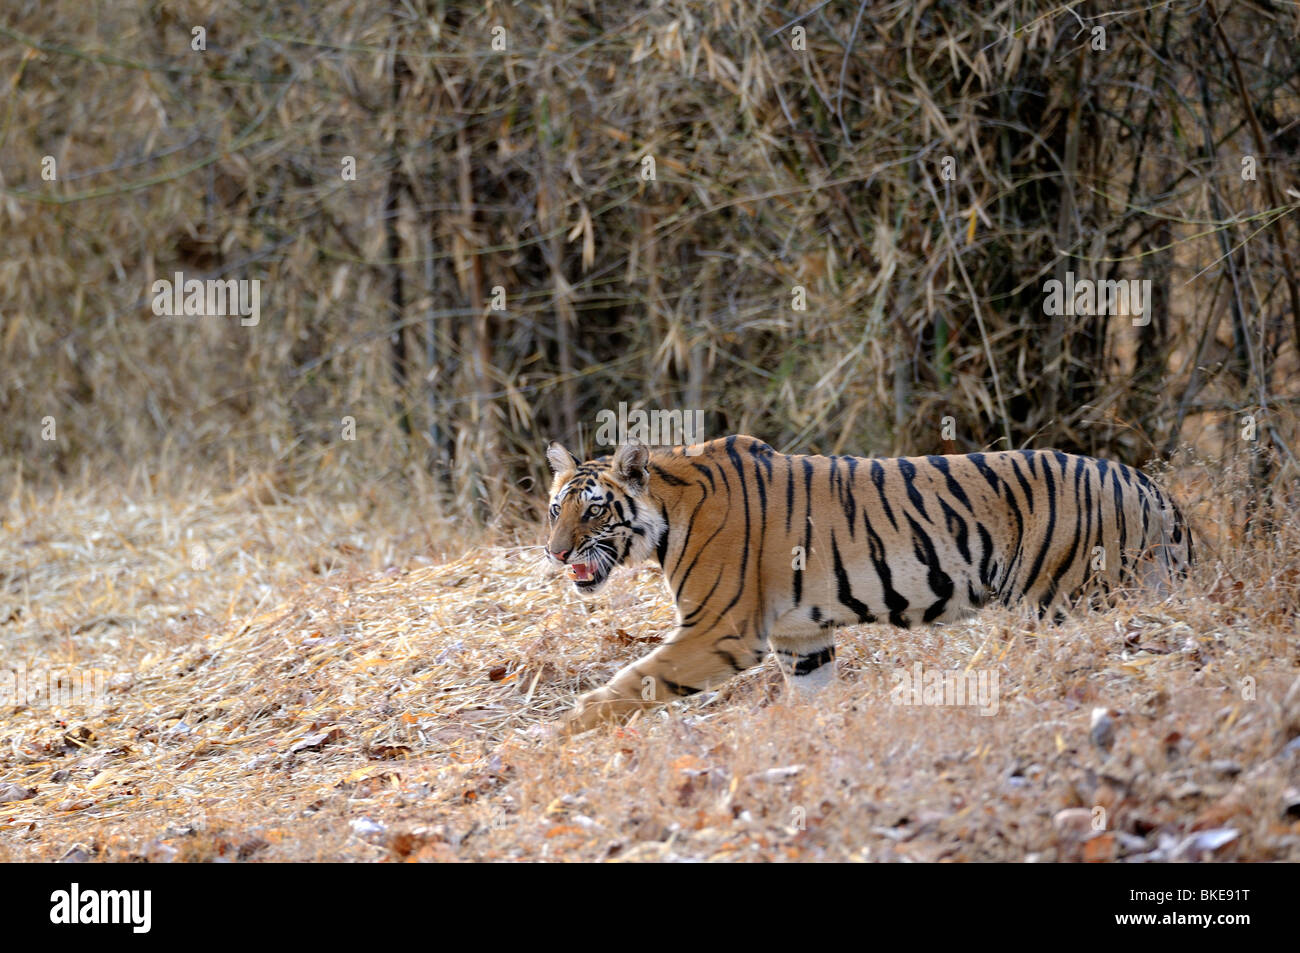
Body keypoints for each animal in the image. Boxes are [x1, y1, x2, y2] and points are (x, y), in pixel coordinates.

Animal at [544, 434, 1193, 733]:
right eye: (556, 509)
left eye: (594, 510)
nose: (555, 554)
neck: (667, 513)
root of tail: (1151, 487)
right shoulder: (799, 639)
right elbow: (814, 693)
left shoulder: (718, 631)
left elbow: (636, 681)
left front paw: (567, 727)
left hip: (1060, 600)